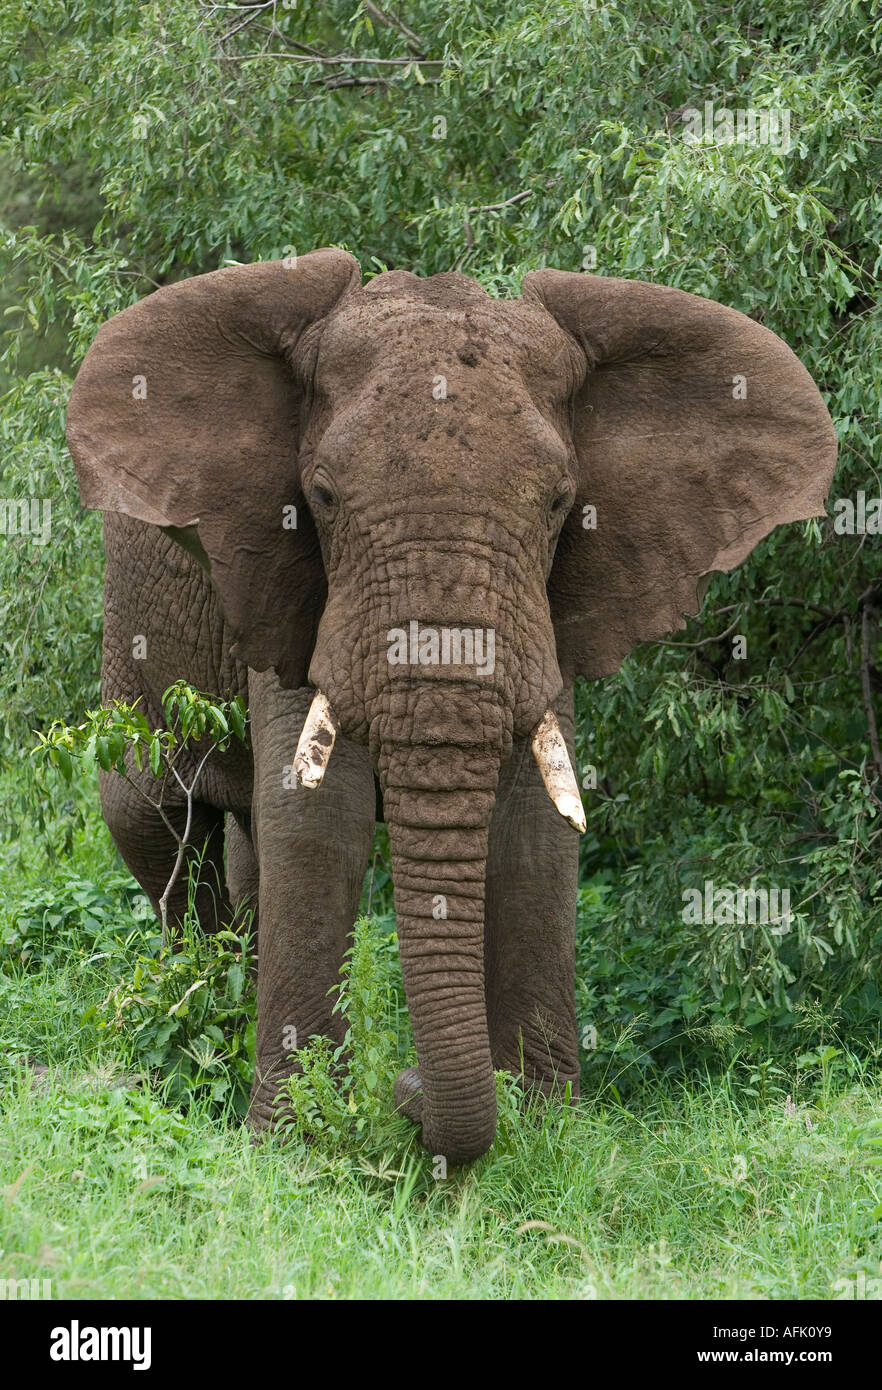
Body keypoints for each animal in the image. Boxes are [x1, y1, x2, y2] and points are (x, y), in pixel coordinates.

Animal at [65, 248, 837, 1164]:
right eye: (321, 497)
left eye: (558, 502)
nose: (405, 1090)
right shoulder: (293, 583)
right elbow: (318, 819)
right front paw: (293, 1144)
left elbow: (534, 827)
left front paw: (544, 1128)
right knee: (154, 820)